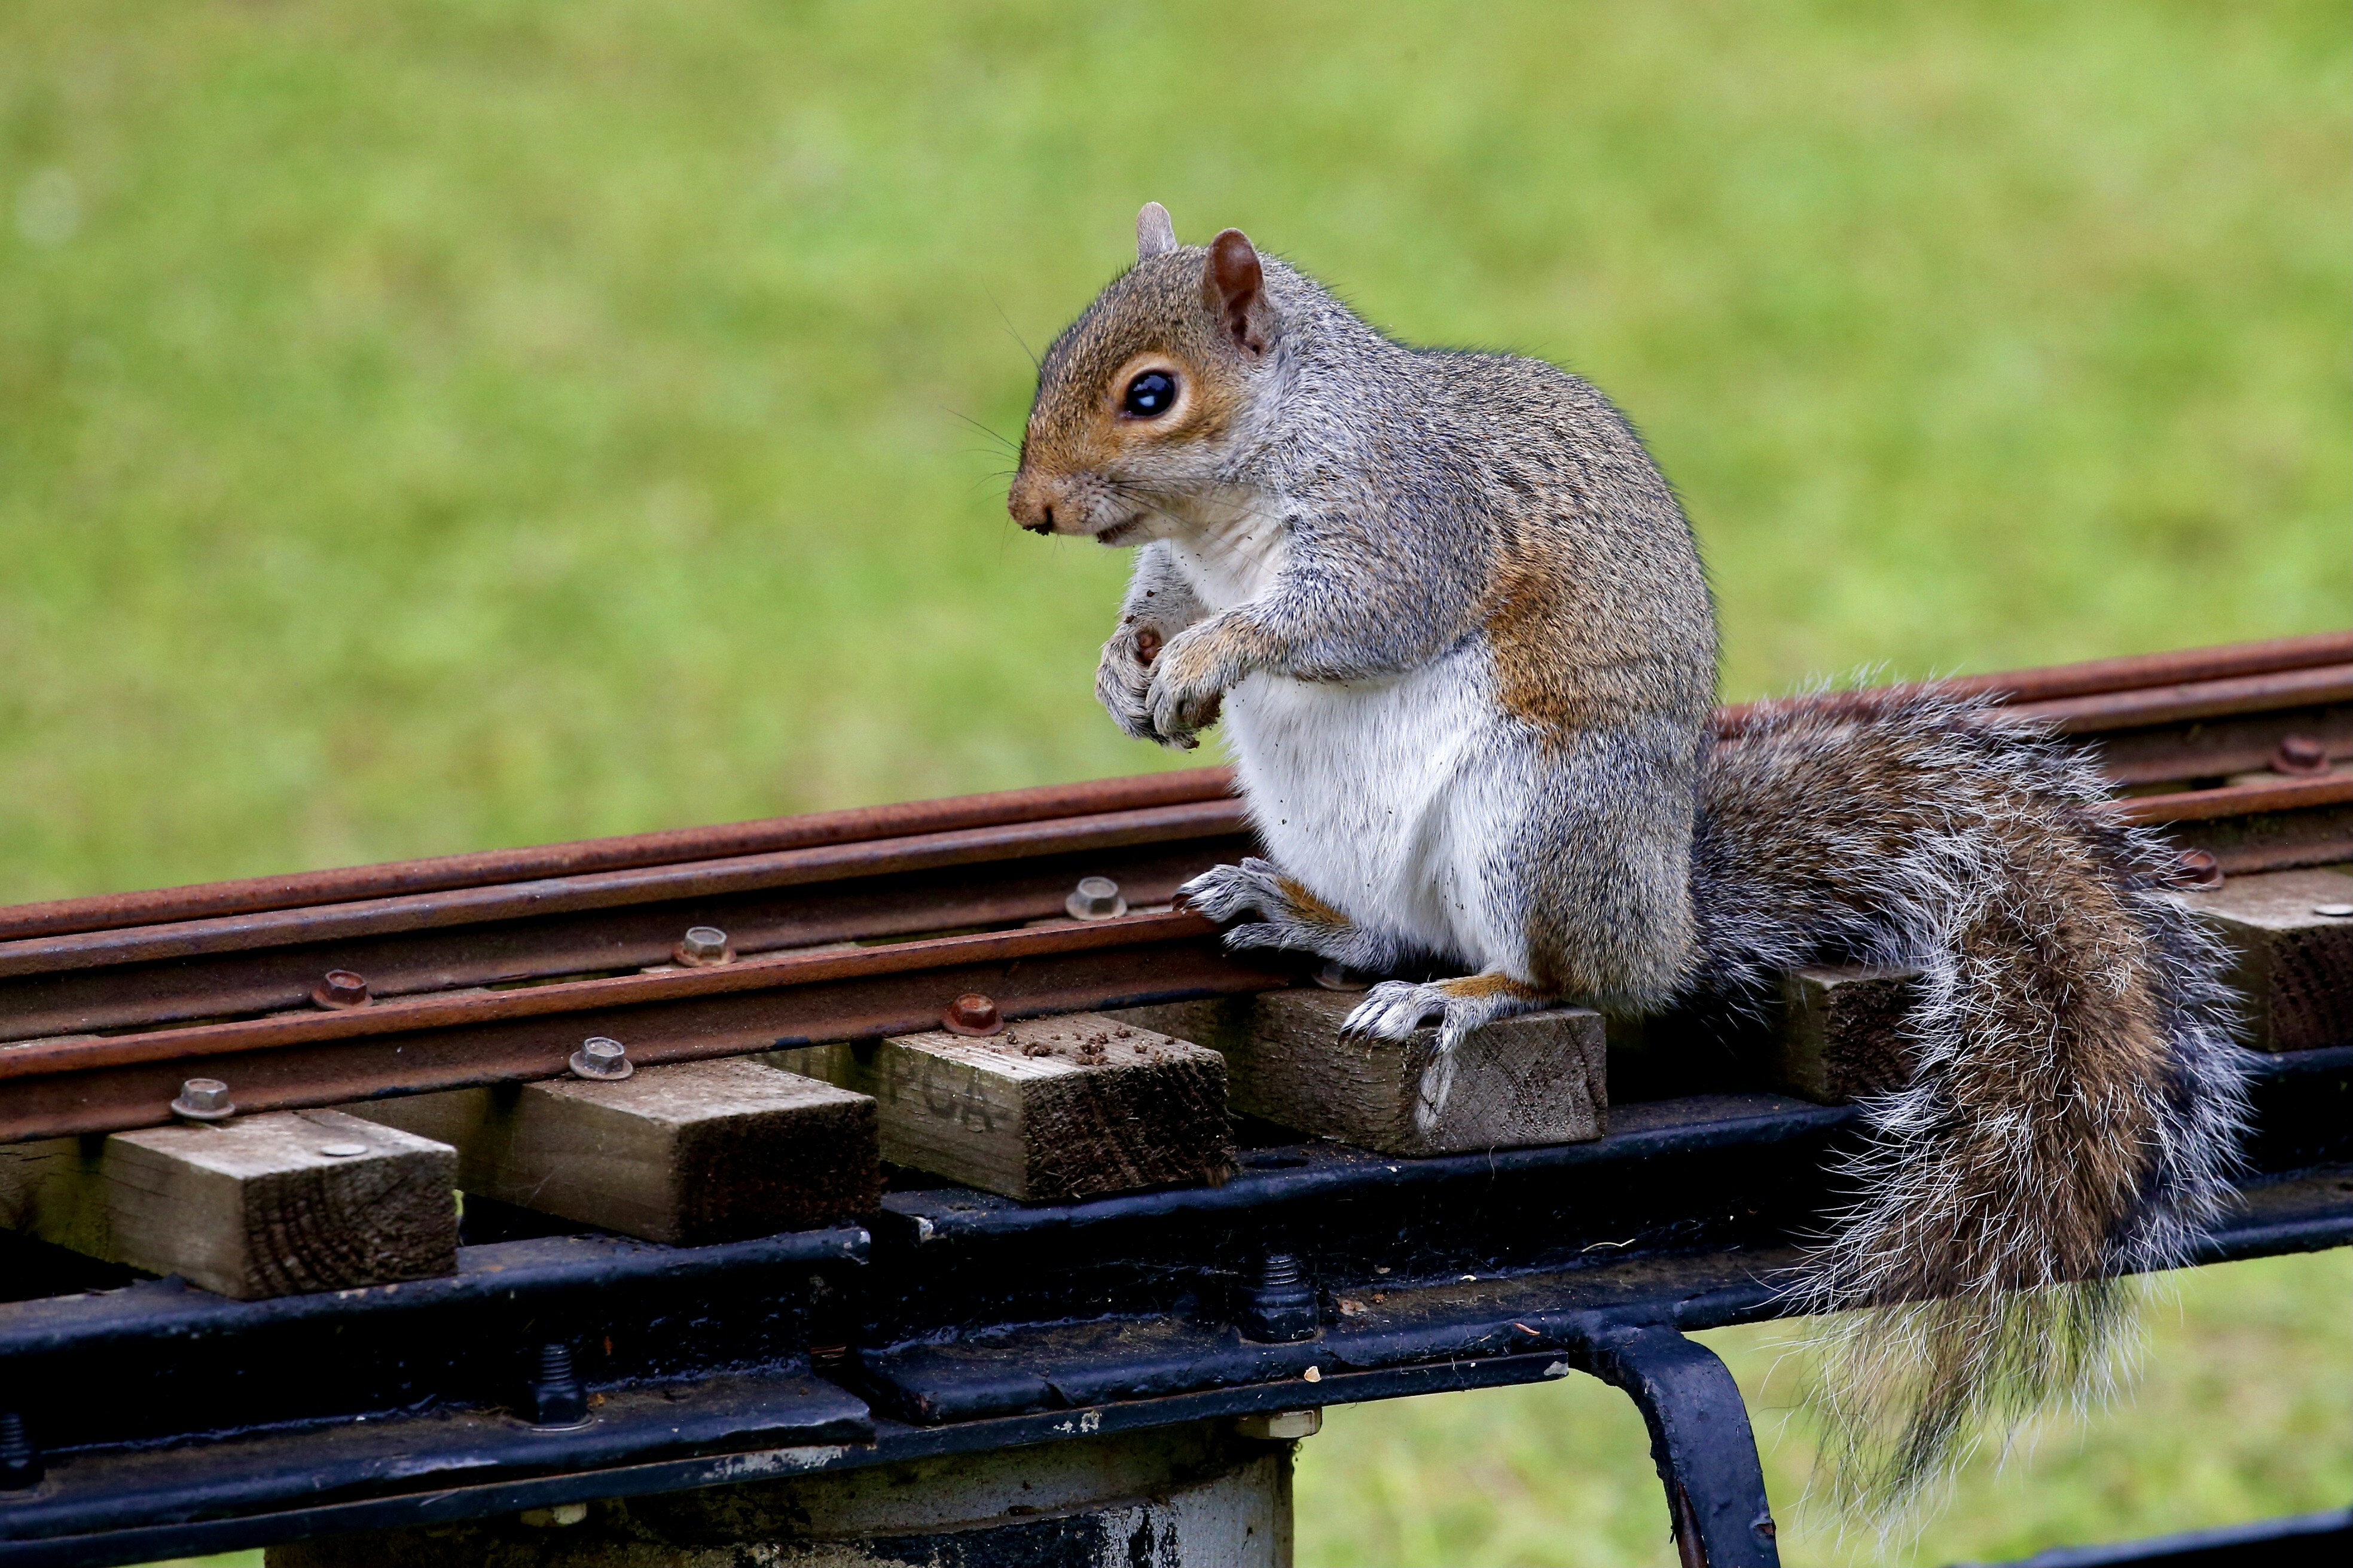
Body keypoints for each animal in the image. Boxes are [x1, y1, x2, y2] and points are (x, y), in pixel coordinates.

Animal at [1006, 203, 2247, 1508]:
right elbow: (1156, 594)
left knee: (1559, 977)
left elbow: (1348, 615)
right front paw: (1126, 665)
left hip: (1541, 817)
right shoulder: (1187, 560)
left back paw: (1459, 997)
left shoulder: (1406, 521)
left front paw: (1204, 655)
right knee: (1393, 926)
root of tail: (1672, 924)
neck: (1240, 493)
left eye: (1151, 394)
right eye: (1055, 357)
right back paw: (1304, 913)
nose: (1027, 508)